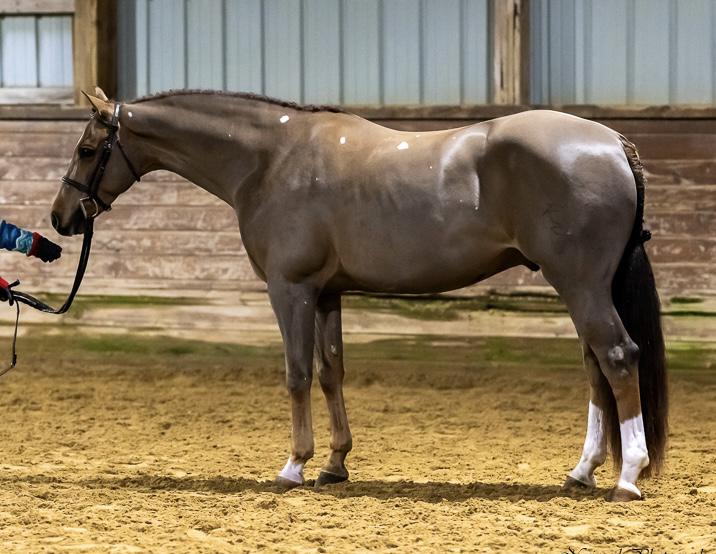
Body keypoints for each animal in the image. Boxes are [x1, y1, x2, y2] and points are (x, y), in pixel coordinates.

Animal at [51, 87, 667, 502]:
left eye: (88, 149)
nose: (61, 219)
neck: (271, 159)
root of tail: (611, 142)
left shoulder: (291, 289)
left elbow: (297, 373)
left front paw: (294, 466)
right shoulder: (328, 294)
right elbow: (331, 372)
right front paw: (334, 465)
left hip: (581, 284)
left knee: (617, 358)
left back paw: (628, 476)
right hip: (583, 289)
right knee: (596, 367)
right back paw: (582, 471)